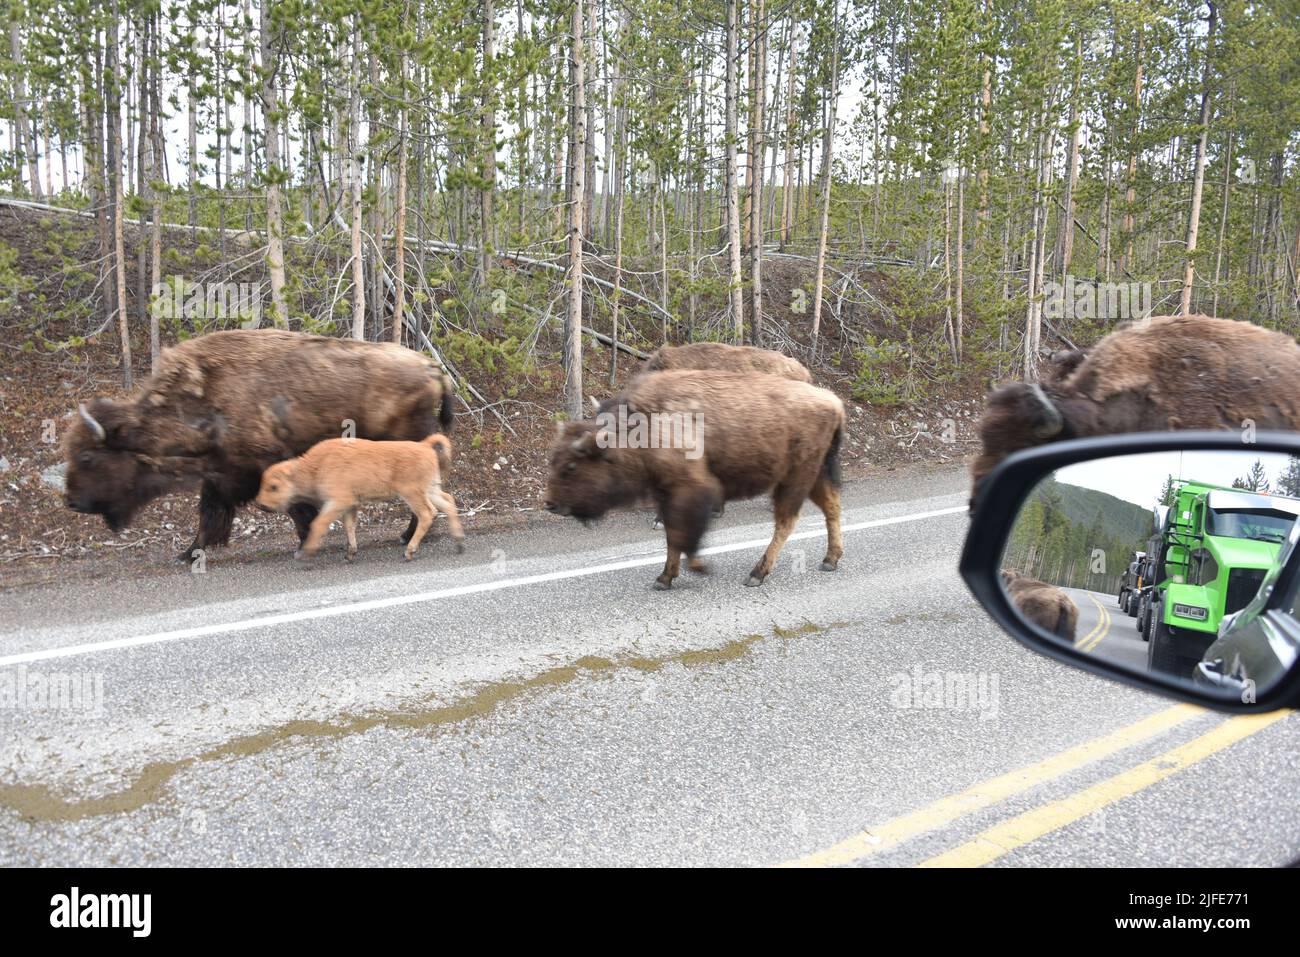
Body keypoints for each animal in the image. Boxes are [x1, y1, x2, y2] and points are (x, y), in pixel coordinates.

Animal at [64, 329, 454, 560]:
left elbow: (296, 508)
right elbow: (209, 514)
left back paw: (407, 537)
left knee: (423, 500)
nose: (71, 501)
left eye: (87, 457)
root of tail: (431, 366)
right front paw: (190, 552)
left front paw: (305, 543)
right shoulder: (219, 475)